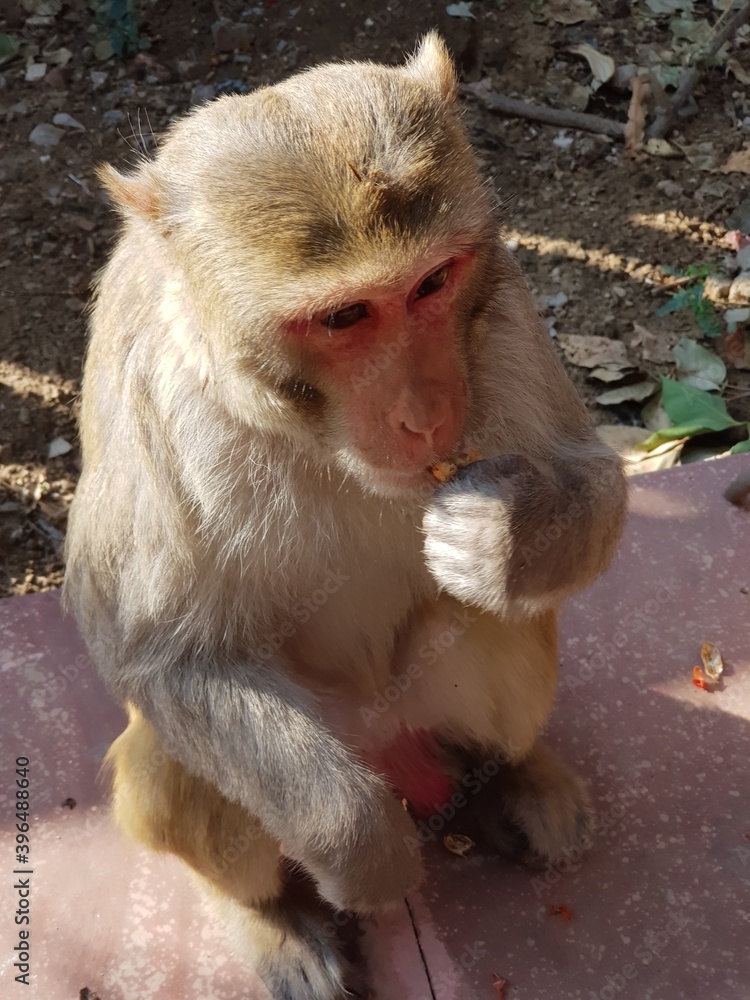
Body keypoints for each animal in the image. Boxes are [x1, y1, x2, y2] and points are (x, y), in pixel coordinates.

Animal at [63, 34, 627, 1000]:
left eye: (433, 284)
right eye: (346, 315)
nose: (428, 413)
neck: (314, 430)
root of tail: (393, 756)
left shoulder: (503, 311)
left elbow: (596, 477)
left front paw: (504, 539)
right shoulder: (151, 386)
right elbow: (161, 652)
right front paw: (358, 848)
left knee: (499, 634)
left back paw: (515, 778)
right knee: (179, 764)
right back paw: (271, 916)